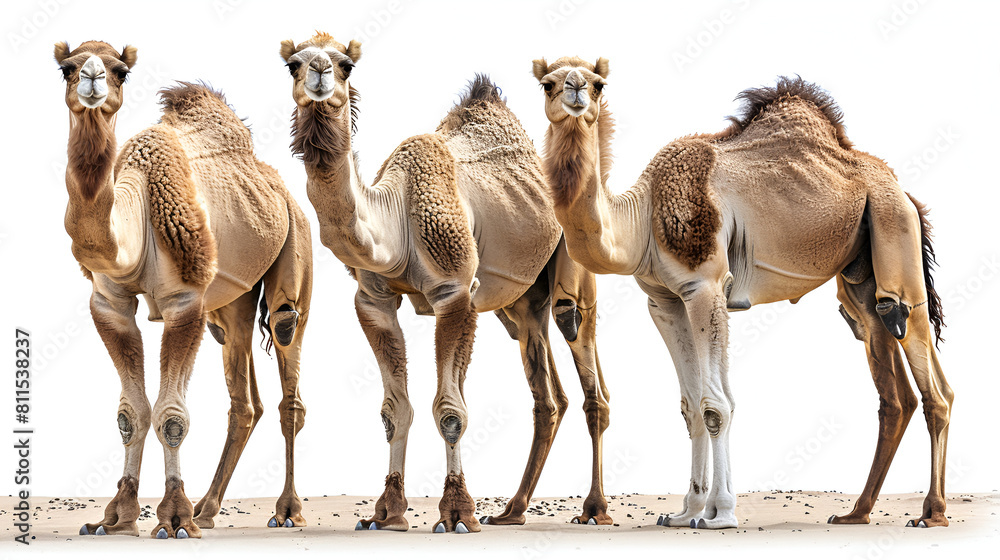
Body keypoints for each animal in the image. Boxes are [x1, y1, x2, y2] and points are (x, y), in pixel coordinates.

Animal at [55, 40, 313, 538]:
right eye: (66, 68)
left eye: (120, 70)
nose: (92, 79)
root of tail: (281, 187)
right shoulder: (110, 304)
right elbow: (131, 413)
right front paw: (117, 515)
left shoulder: (185, 302)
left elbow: (170, 416)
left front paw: (173, 517)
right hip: (230, 306)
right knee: (243, 400)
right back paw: (208, 509)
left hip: (295, 250)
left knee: (288, 363)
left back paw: (286, 510)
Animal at [279, 33, 614, 532]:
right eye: (293, 64)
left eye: (345, 65)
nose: (319, 74)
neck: (394, 218)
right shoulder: (373, 301)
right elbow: (394, 410)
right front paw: (387, 511)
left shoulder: (454, 291)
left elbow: (450, 411)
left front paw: (457, 511)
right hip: (518, 305)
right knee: (548, 395)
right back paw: (512, 510)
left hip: (573, 273)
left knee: (587, 368)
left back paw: (593, 510)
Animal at [531, 57, 952, 530]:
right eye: (547, 83)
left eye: (599, 84)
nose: (575, 88)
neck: (642, 217)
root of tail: (904, 191)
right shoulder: (665, 301)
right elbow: (691, 406)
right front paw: (686, 512)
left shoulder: (705, 285)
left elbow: (716, 406)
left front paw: (720, 514)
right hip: (860, 281)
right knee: (894, 388)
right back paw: (856, 513)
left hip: (894, 228)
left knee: (927, 369)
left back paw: (932, 513)